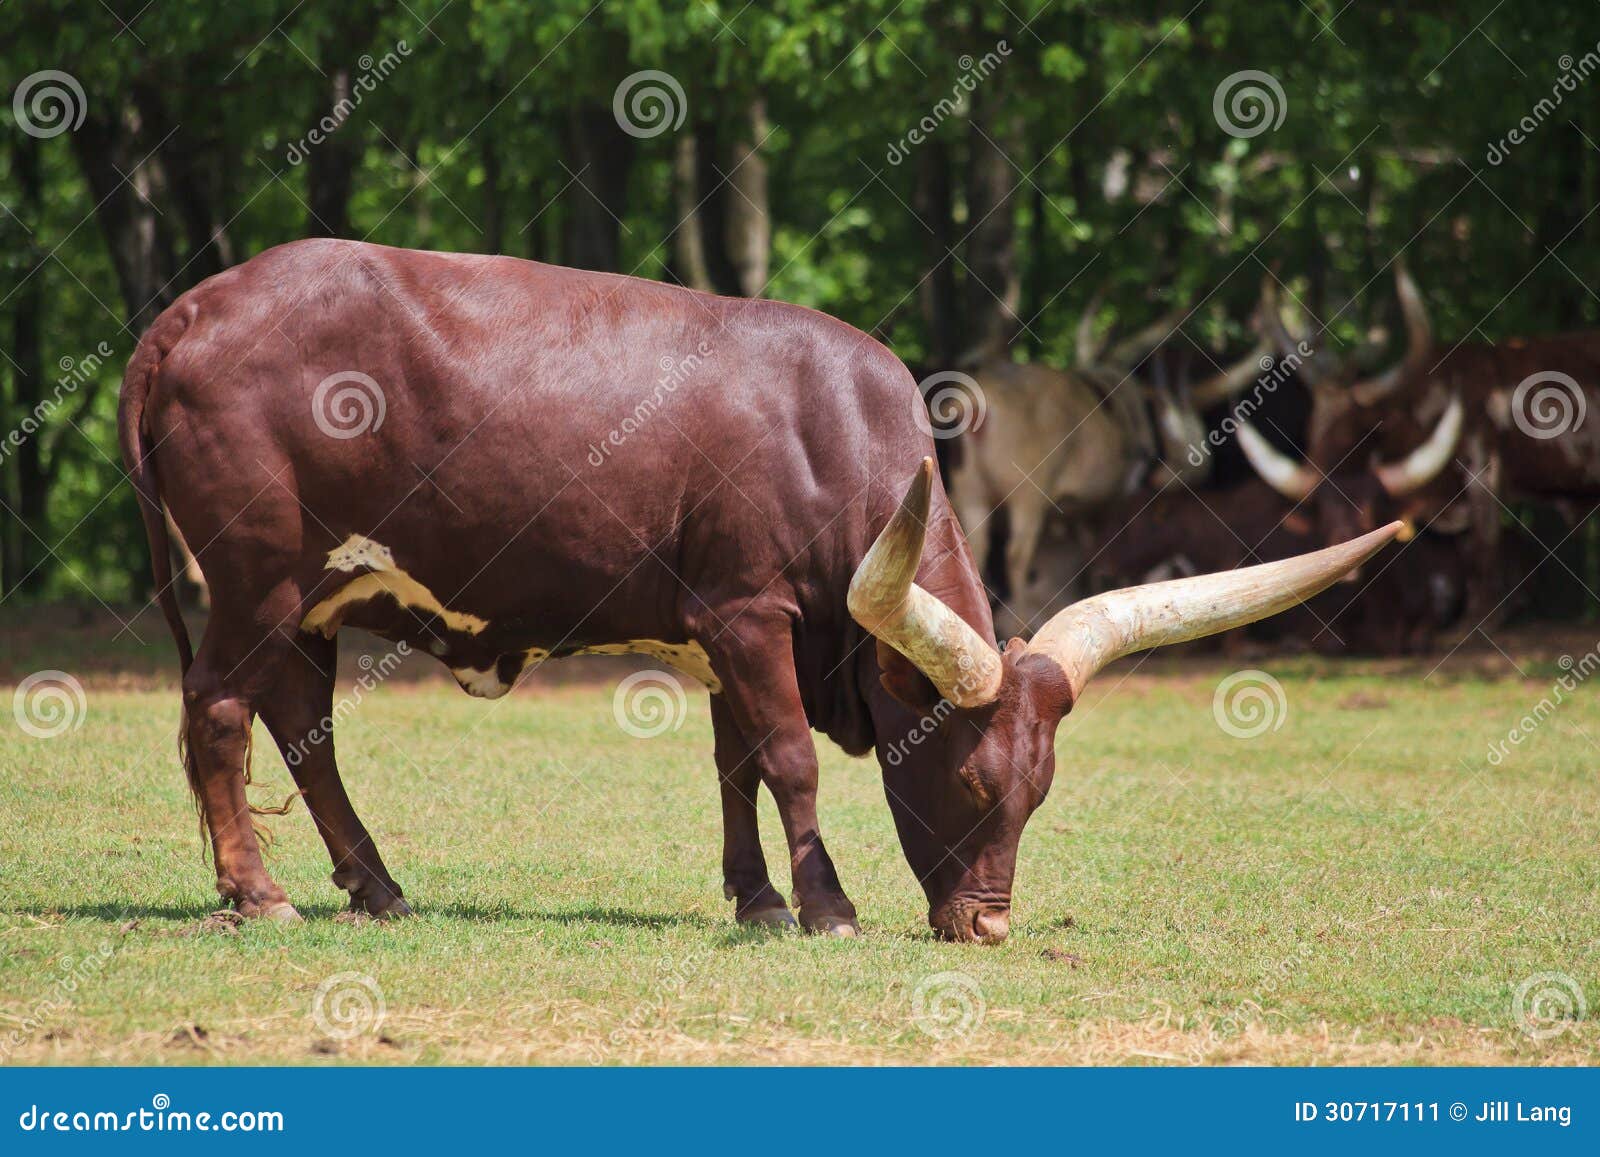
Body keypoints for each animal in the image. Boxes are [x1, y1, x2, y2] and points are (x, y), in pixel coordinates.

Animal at [119, 239, 1398, 943]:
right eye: (972, 778)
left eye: (1041, 788)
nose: (986, 925)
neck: (829, 437)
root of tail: (191, 310)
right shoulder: (748, 614)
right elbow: (786, 757)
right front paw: (823, 905)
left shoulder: (724, 627)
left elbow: (733, 762)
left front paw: (757, 898)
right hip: (255, 577)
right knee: (220, 713)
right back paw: (259, 892)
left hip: (317, 596)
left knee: (303, 726)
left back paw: (375, 885)